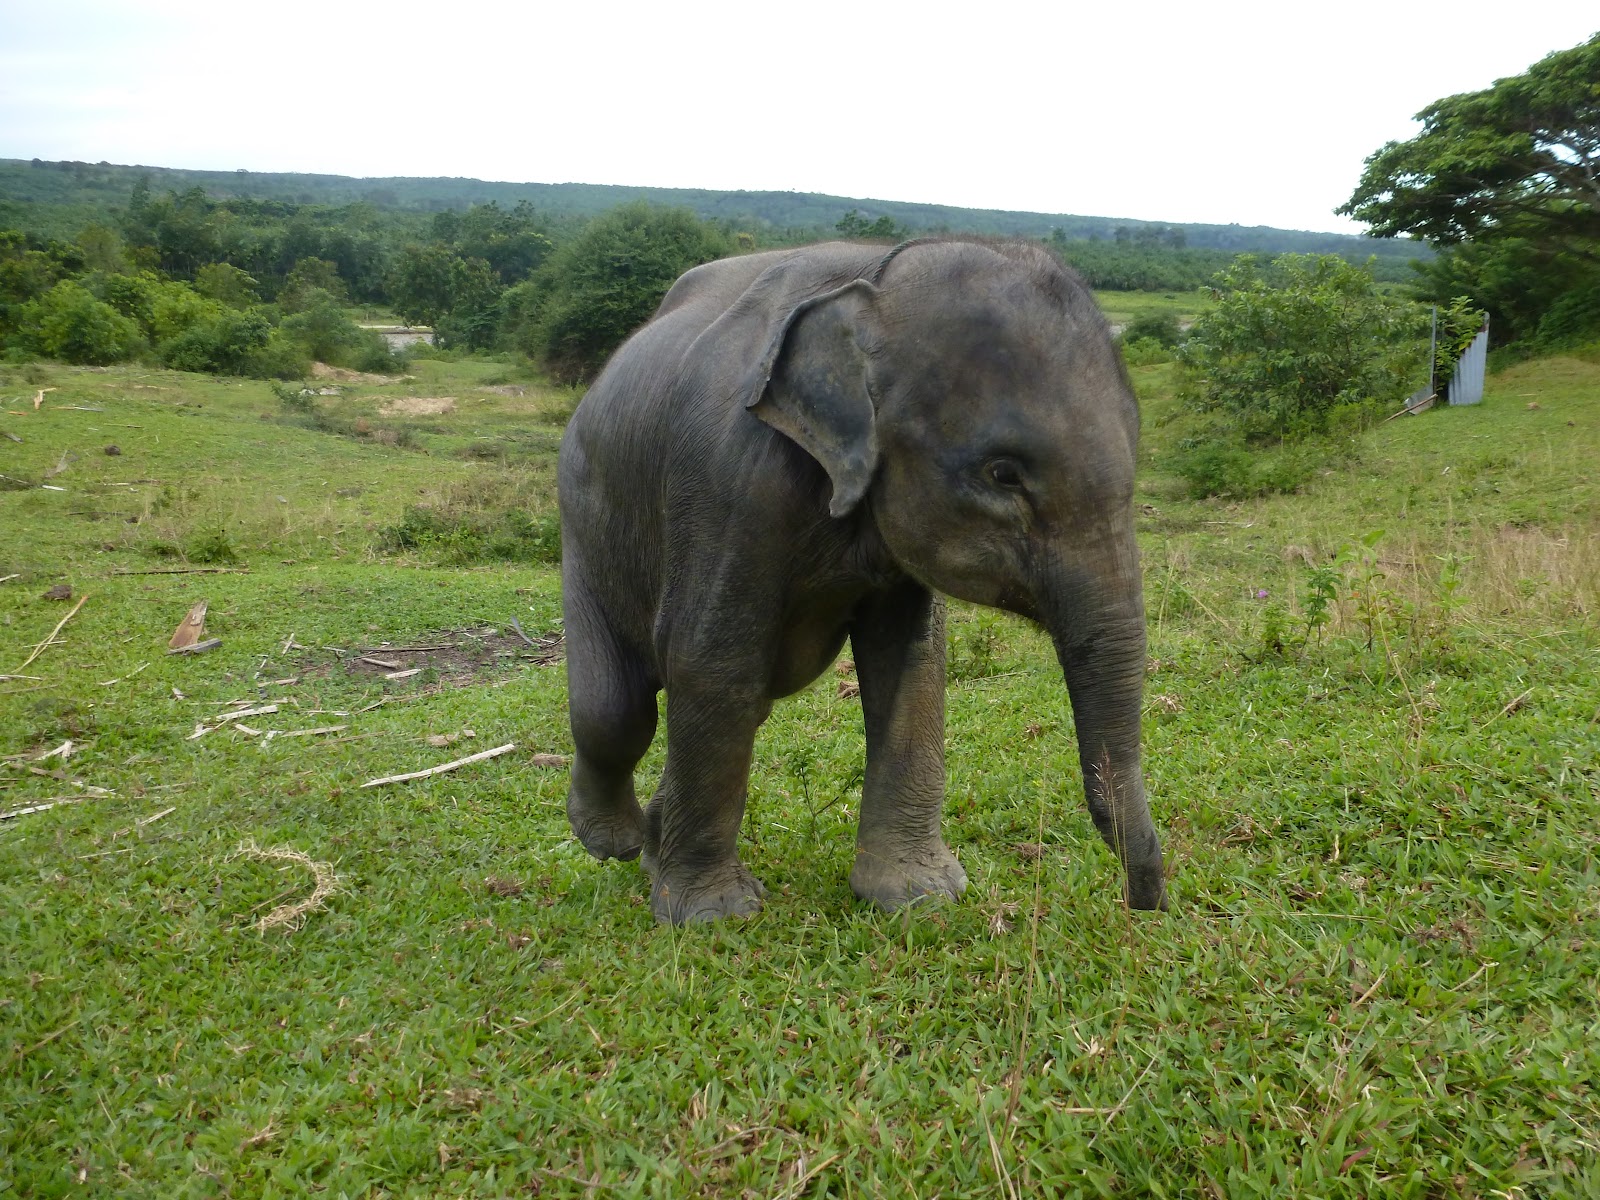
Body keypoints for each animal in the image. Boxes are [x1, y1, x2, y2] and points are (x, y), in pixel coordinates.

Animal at [557, 237, 1167, 923]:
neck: (874, 278)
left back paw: (653, 852)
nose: (1144, 903)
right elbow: (710, 660)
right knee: (617, 708)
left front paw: (916, 897)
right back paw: (614, 841)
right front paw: (715, 917)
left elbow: (910, 664)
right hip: (582, 519)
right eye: (1003, 473)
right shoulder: (729, 482)